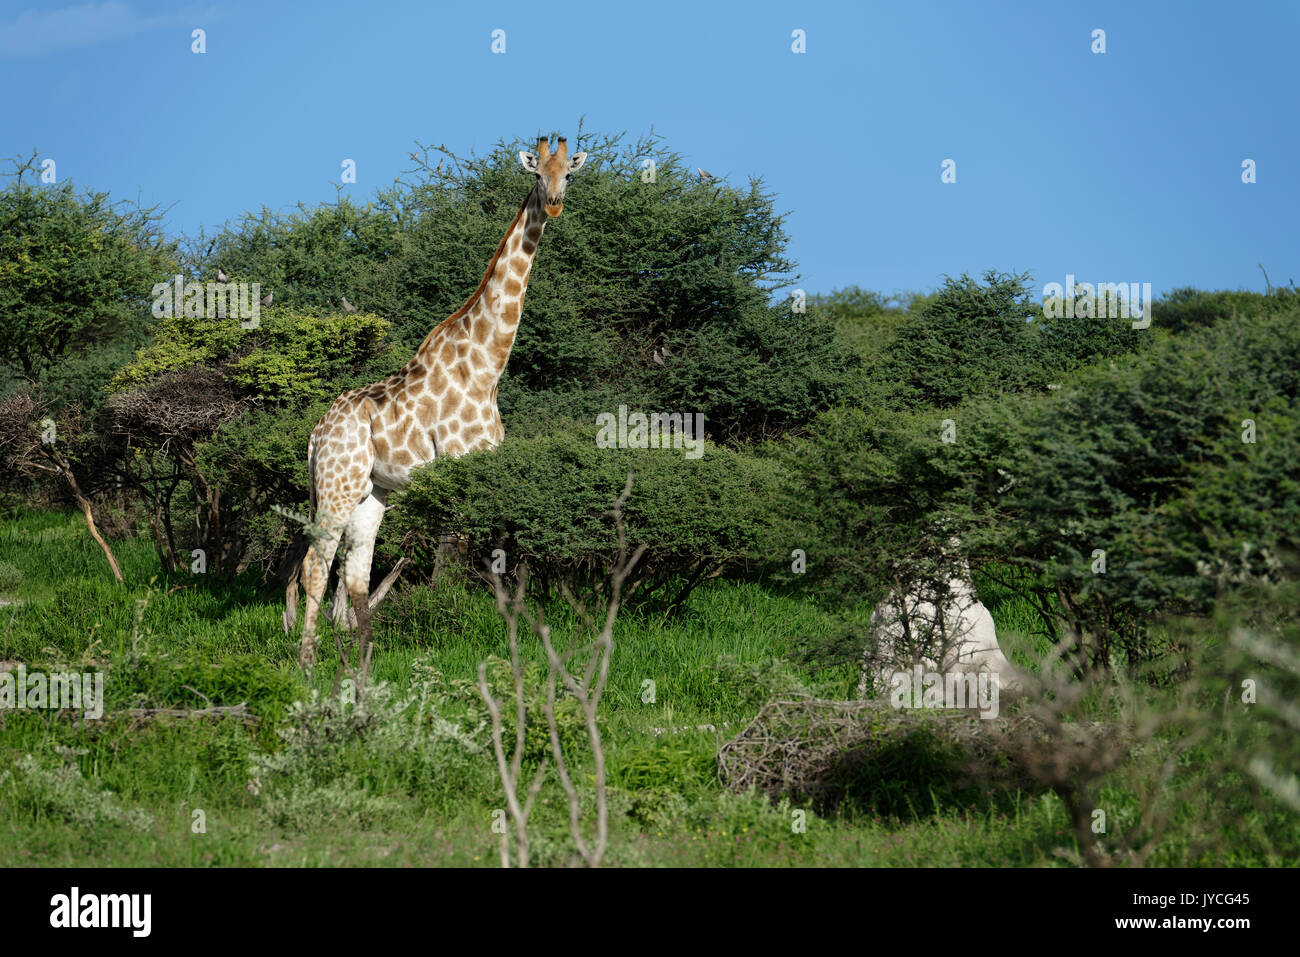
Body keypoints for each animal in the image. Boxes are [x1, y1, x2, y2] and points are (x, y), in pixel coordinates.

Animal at [288, 134, 588, 676]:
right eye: (537, 175)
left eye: (568, 174)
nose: (554, 204)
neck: (488, 365)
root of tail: (316, 435)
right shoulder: (458, 461)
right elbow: (452, 561)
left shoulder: (483, 463)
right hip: (337, 485)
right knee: (316, 563)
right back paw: (307, 661)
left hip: (372, 492)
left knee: (356, 570)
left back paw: (360, 656)